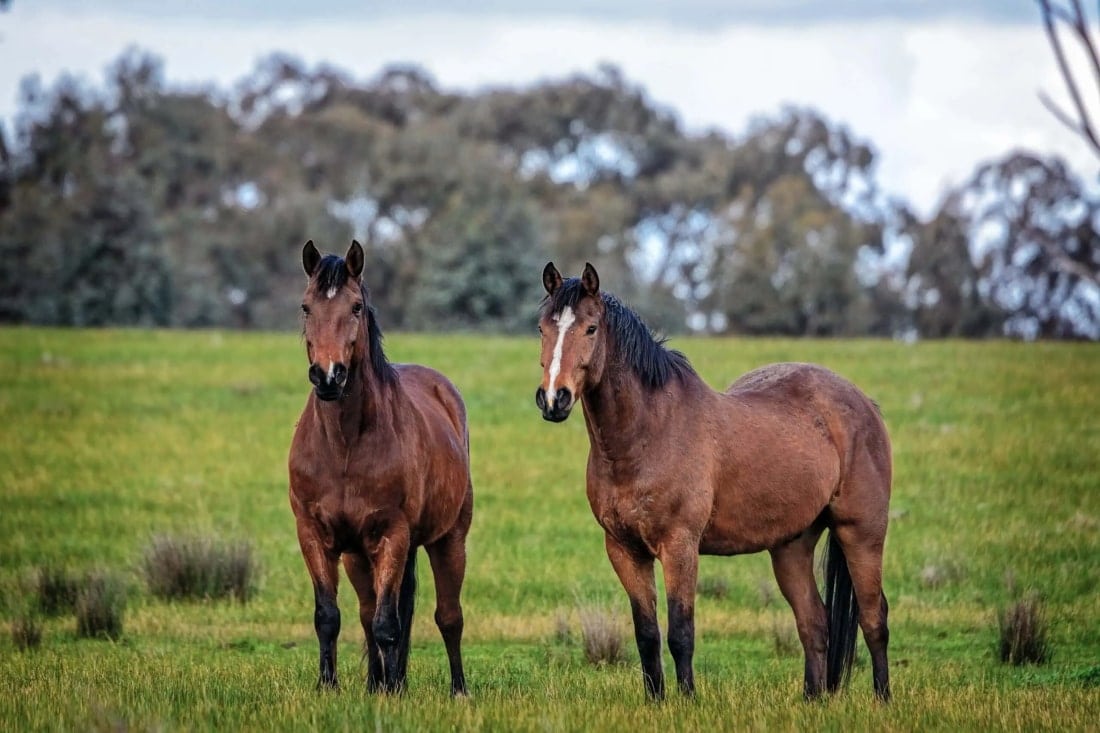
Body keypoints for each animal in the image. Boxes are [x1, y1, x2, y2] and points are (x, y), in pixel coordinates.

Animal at [288, 240, 473, 695]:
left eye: (356, 306)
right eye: (306, 306)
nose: (328, 376)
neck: (345, 446)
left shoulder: (393, 534)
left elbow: (390, 623)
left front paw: (394, 692)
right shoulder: (313, 534)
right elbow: (330, 617)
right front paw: (330, 687)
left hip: (448, 540)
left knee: (448, 616)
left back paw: (457, 689)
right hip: (357, 555)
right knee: (366, 610)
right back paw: (377, 682)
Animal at [534, 262, 892, 702]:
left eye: (590, 328)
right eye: (542, 328)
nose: (555, 399)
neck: (649, 434)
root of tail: (863, 404)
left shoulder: (680, 546)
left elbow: (681, 633)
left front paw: (687, 701)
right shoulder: (624, 550)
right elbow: (647, 635)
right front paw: (656, 701)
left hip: (861, 533)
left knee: (874, 618)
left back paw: (883, 699)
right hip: (791, 546)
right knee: (814, 623)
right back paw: (813, 699)